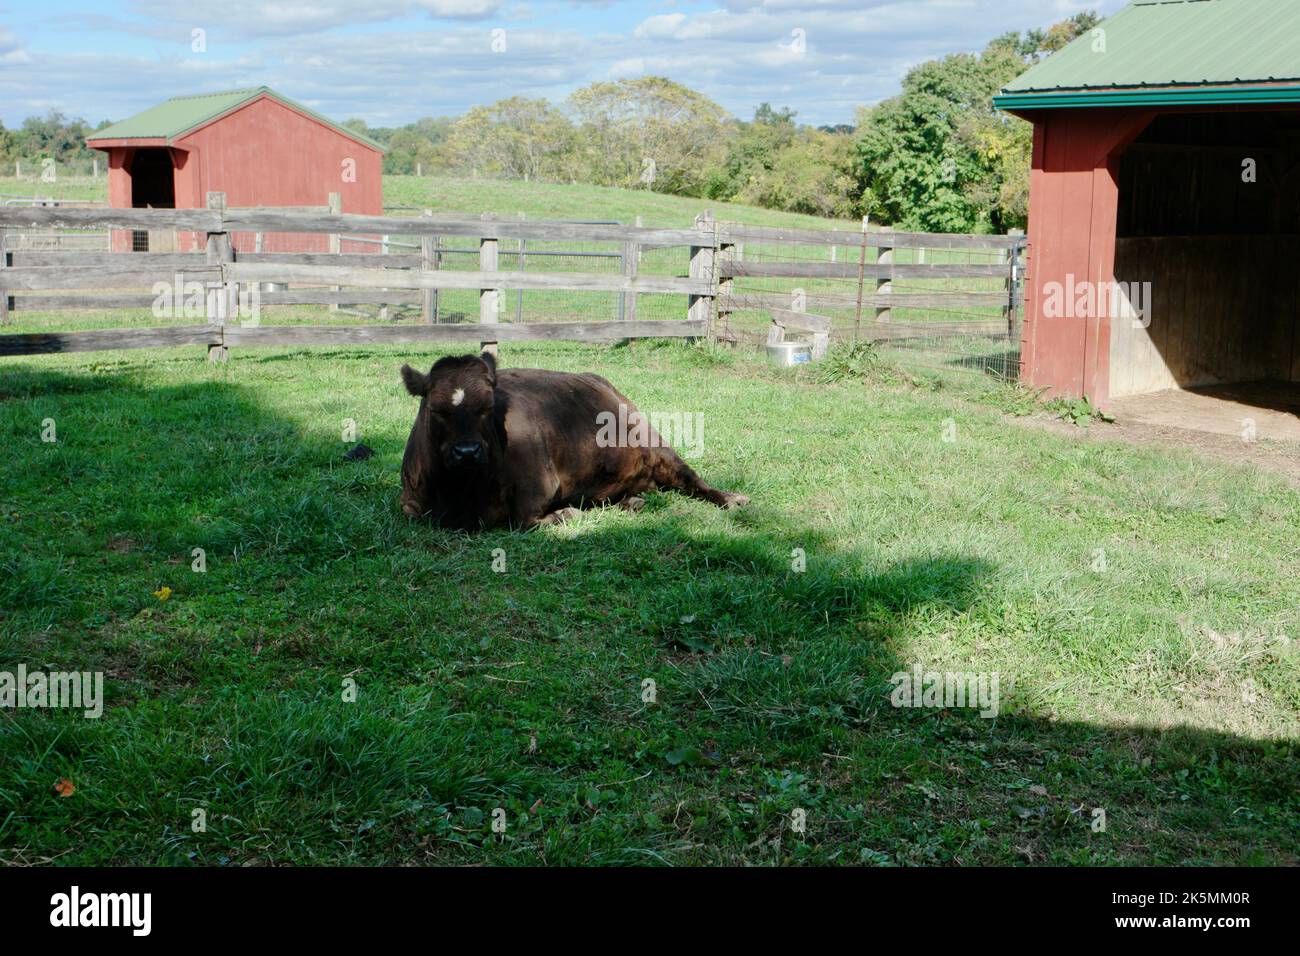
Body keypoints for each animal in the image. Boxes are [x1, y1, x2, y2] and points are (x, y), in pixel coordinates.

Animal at [398, 352, 749, 530]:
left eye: (487, 406)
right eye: (435, 409)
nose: (467, 452)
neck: (462, 494)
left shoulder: (539, 485)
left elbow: (527, 519)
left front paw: (565, 513)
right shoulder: (410, 497)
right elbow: (410, 511)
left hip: (656, 444)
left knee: (694, 481)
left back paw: (731, 498)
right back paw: (630, 502)